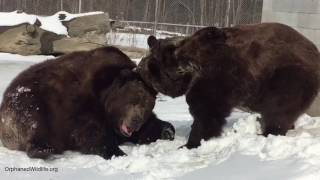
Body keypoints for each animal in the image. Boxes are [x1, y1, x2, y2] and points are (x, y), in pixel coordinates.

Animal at [0, 46, 175, 159]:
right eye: (133, 100)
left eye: (146, 106)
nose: (135, 121)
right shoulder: (77, 104)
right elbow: (91, 133)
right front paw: (117, 151)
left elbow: (149, 127)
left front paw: (167, 130)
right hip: (30, 101)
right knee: (33, 118)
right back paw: (42, 149)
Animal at [138, 22, 320, 149]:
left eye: (151, 72)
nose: (138, 68)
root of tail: (315, 52)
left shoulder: (219, 77)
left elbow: (207, 113)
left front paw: (190, 142)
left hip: (288, 76)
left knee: (279, 108)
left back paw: (268, 132)